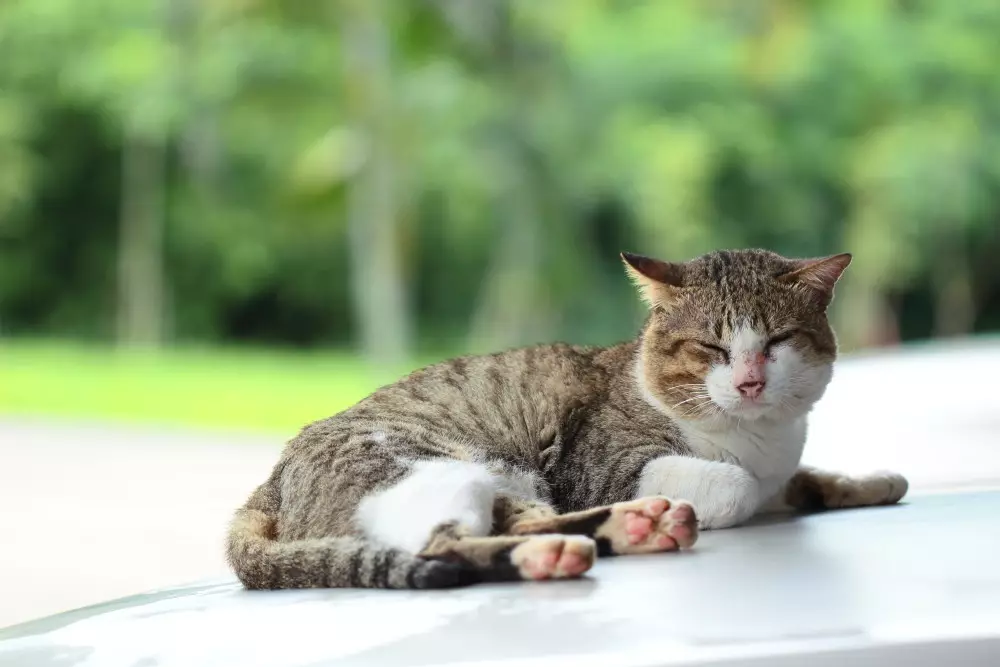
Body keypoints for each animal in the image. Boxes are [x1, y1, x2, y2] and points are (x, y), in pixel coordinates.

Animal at [227, 249, 908, 588]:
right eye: (711, 348)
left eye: (778, 342)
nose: (749, 382)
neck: (757, 438)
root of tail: (268, 485)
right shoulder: (599, 467)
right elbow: (736, 485)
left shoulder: (782, 467)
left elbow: (803, 479)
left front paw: (869, 482)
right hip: (440, 468)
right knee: (444, 545)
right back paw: (562, 552)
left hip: (504, 483)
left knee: (525, 521)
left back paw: (631, 529)